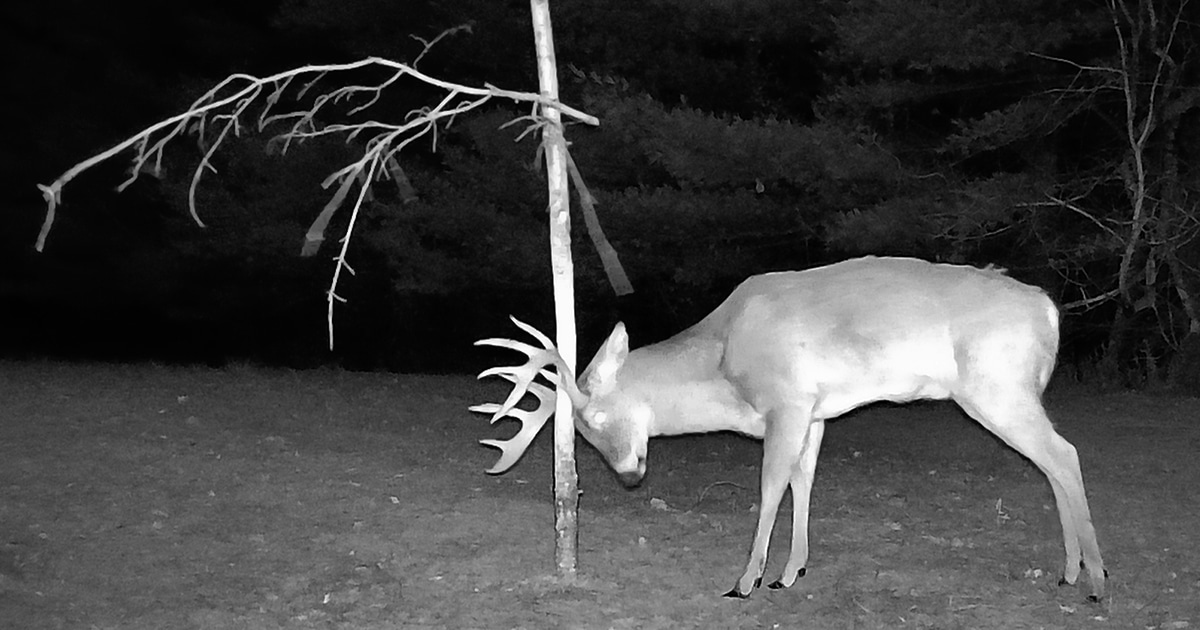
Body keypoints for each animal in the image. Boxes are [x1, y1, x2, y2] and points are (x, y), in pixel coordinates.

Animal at [472, 256, 1107, 601]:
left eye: (595, 419)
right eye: (580, 436)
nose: (629, 475)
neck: (724, 361)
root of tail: (1048, 307)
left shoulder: (787, 400)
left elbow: (771, 487)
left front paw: (745, 581)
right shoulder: (817, 412)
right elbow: (804, 482)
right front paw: (790, 573)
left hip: (995, 388)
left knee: (1065, 454)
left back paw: (1098, 580)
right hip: (1013, 392)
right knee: (1052, 461)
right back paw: (1068, 573)